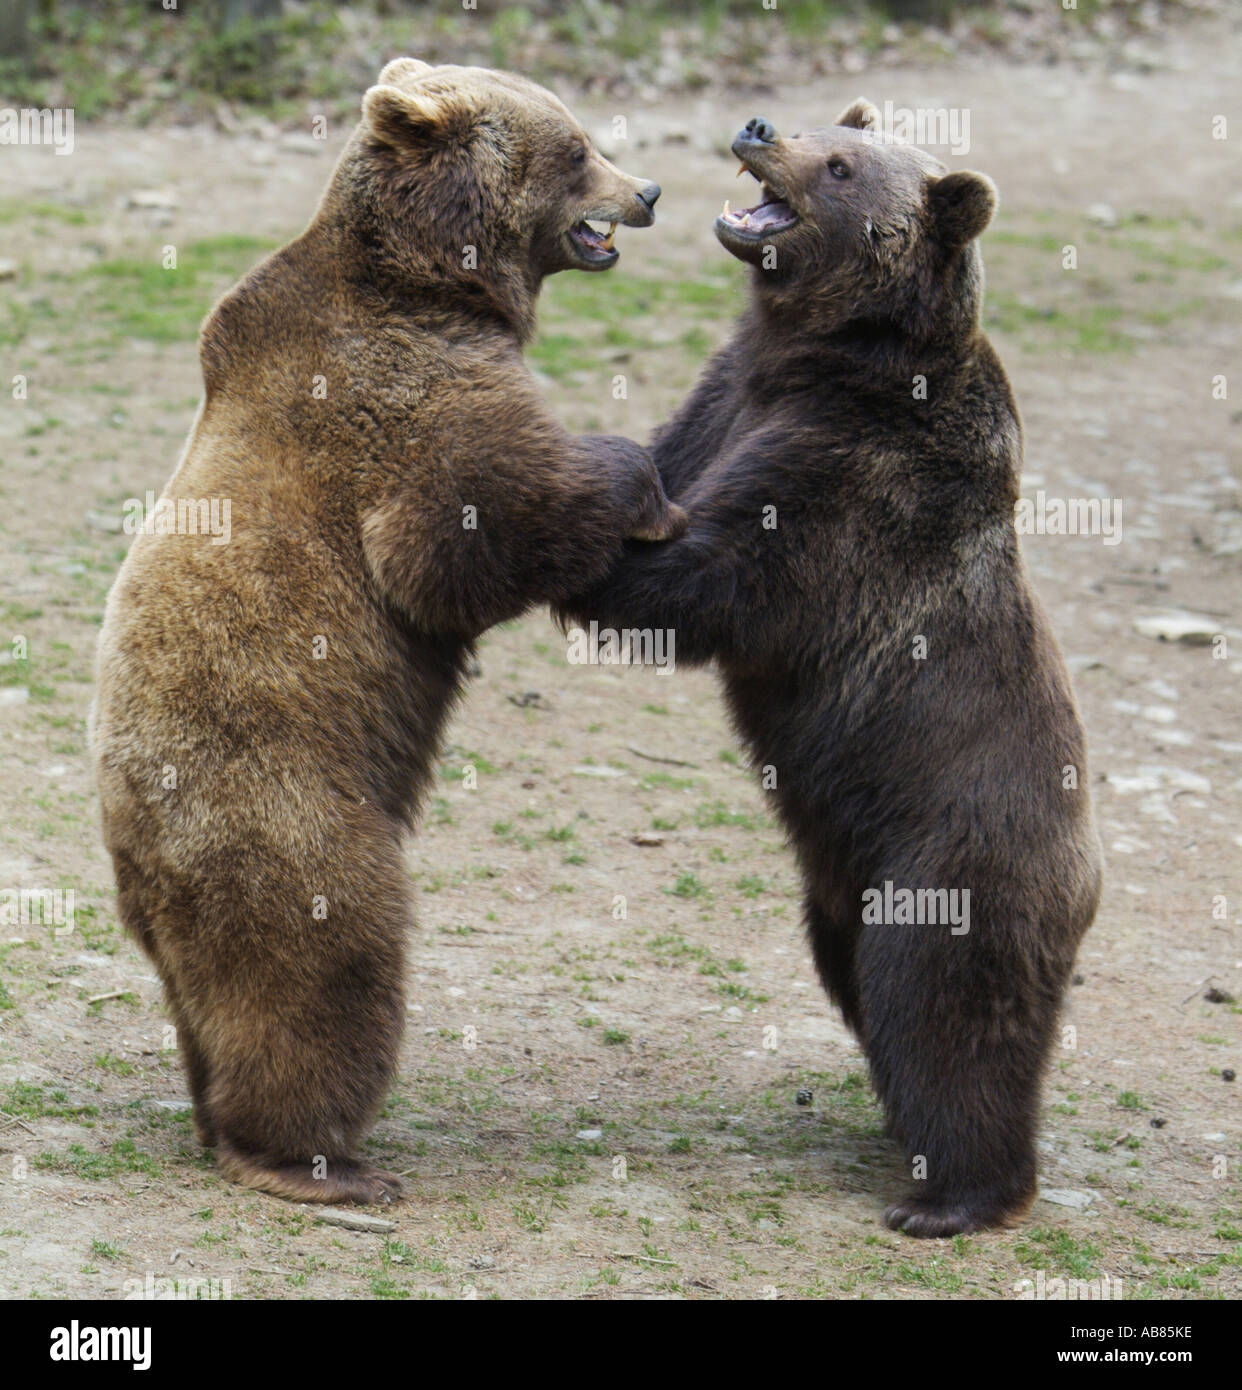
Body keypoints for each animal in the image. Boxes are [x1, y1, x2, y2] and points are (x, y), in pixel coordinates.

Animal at [90, 59, 686, 1205]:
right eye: (576, 146)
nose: (646, 191)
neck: (437, 281)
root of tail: (137, 856)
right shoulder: (397, 394)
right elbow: (468, 523)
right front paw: (648, 491)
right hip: (279, 809)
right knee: (330, 953)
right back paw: (319, 1162)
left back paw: (224, 1118)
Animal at [560, 101, 1103, 1237]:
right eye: (824, 123)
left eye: (843, 165)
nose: (760, 126)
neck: (823, 351)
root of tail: (1089, 879)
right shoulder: (731, 396)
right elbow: (661, 468)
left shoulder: (851, 480)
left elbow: (702, 579)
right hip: (841, 882)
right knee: (860, 980)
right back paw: (909, 1138)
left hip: (955, 855)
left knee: (940, 1004)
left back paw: (956, 1194)